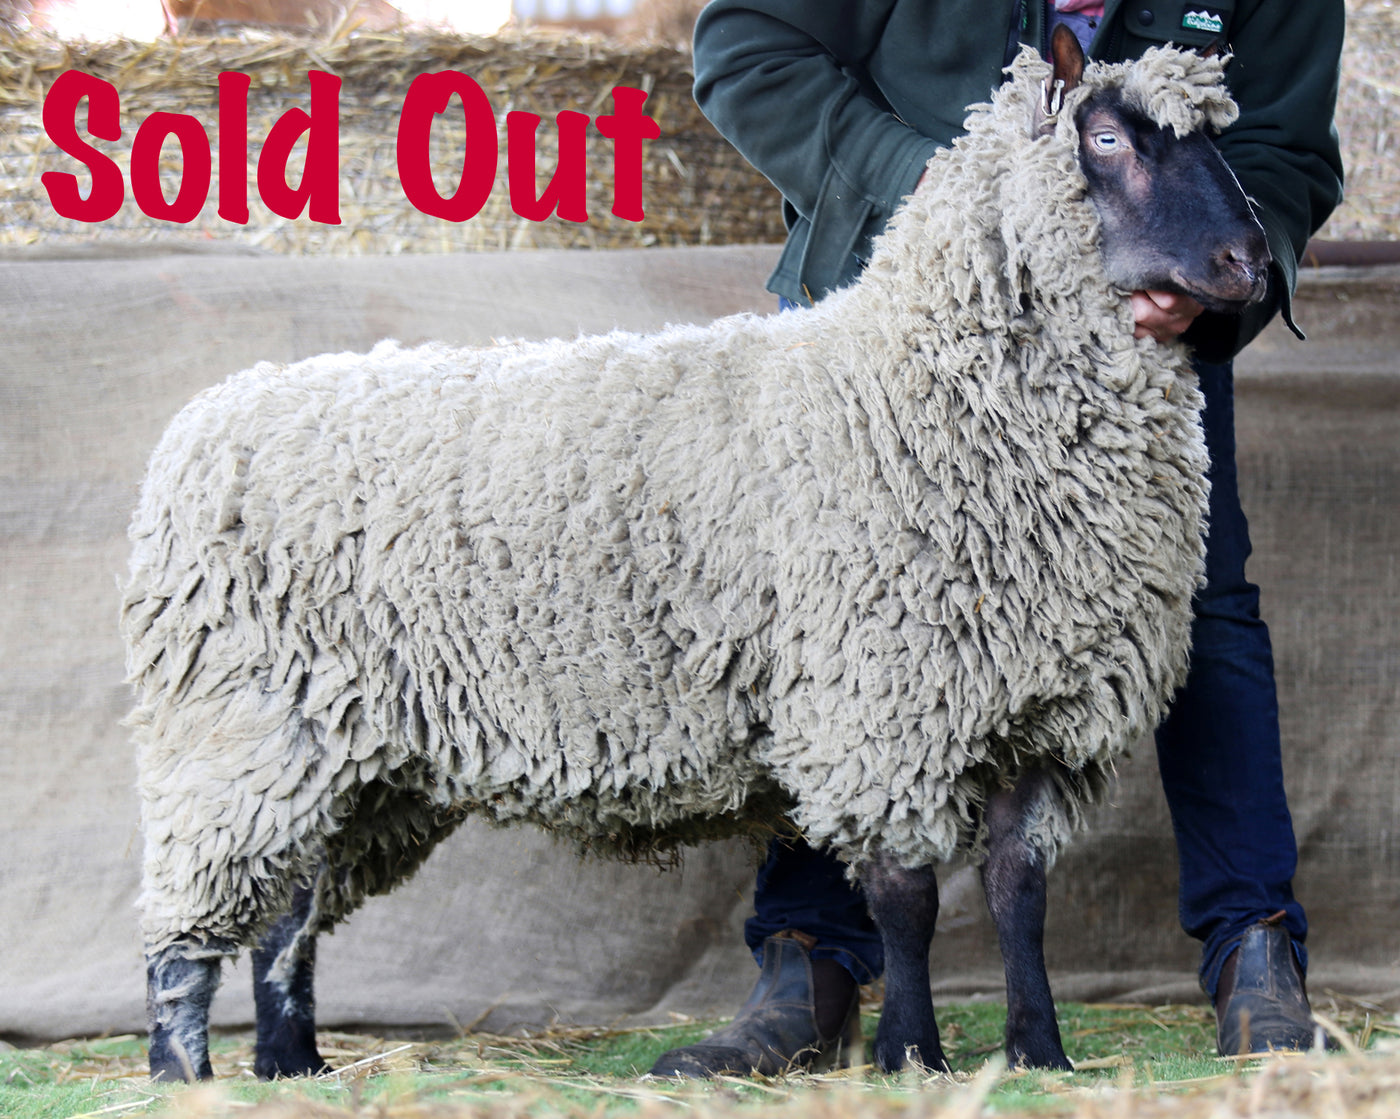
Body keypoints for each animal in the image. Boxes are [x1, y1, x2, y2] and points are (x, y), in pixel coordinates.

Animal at [123, 34, 1270, 1082]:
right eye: (1108, 139)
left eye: (1219, 141)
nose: (1250, 266)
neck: (911, 380)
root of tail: (209, 415)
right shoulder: (880, 705)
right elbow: (904, 899)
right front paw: (911, 1053)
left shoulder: (1047, 715)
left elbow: (1016, 892)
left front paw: (1038, 1053)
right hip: (234, 719)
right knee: (191, 922)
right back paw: (185, 1075)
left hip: (351, 752)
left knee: (289, 909)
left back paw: (291, 1065)